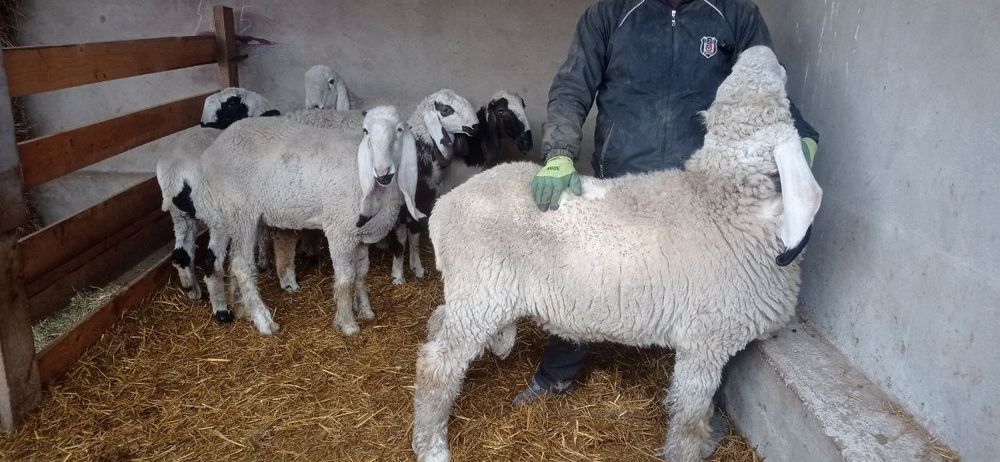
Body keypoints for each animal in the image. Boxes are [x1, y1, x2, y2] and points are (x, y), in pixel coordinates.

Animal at [411, 46, 823, 462]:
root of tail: (445, 206)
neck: (720, 200)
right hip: (481, 293)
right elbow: (690, 415)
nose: (759, 49)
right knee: (436, 365)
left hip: (476, 295)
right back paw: (431, 446)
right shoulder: (705, 339)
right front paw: (688, 451)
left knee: (438, 324)